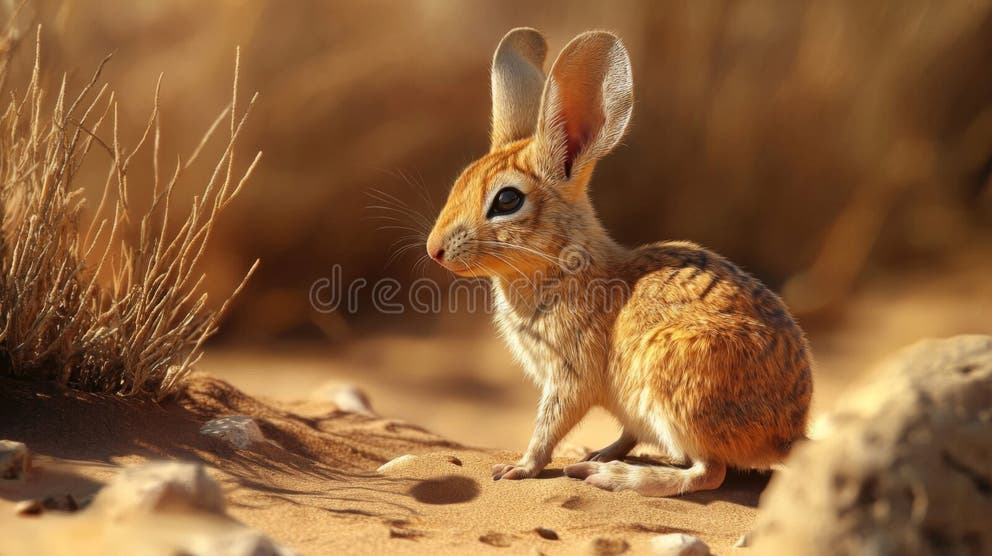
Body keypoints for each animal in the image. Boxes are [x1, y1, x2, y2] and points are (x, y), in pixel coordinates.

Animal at [425, 28, 812, 497]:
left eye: (507, 200)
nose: (434, 249)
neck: (561, 262)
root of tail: (785, 436)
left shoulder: (569, 376)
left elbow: (549, 427)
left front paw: (518, 468)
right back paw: (600, 458)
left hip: (676, 388)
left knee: (708, 472)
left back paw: (611, 476)